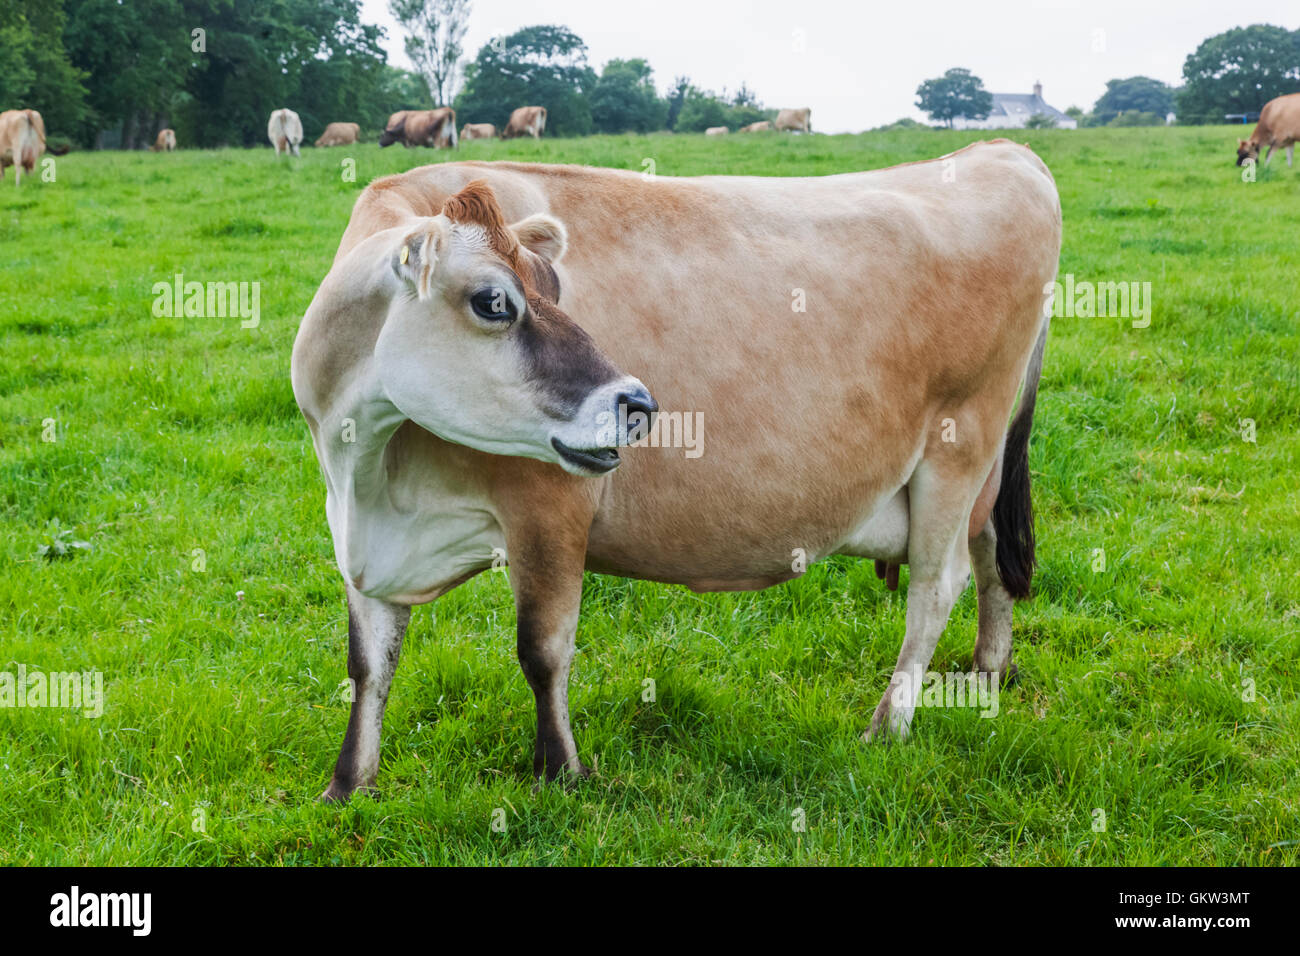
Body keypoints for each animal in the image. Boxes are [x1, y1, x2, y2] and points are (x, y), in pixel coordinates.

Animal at [291, 140, 1062, 800]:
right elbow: (369, 664)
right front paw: (348, 785)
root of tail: (999, 152)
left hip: (958, 444)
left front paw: (561, 774)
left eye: (555, 286)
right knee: (991, 556)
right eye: (492, 300)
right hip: (984, 469)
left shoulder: (549, 508)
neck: (373, 477)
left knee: (937, 584)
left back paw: (889, 724)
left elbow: (542, 650)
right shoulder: (356, 535)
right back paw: (988, 674)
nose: (636, 402)